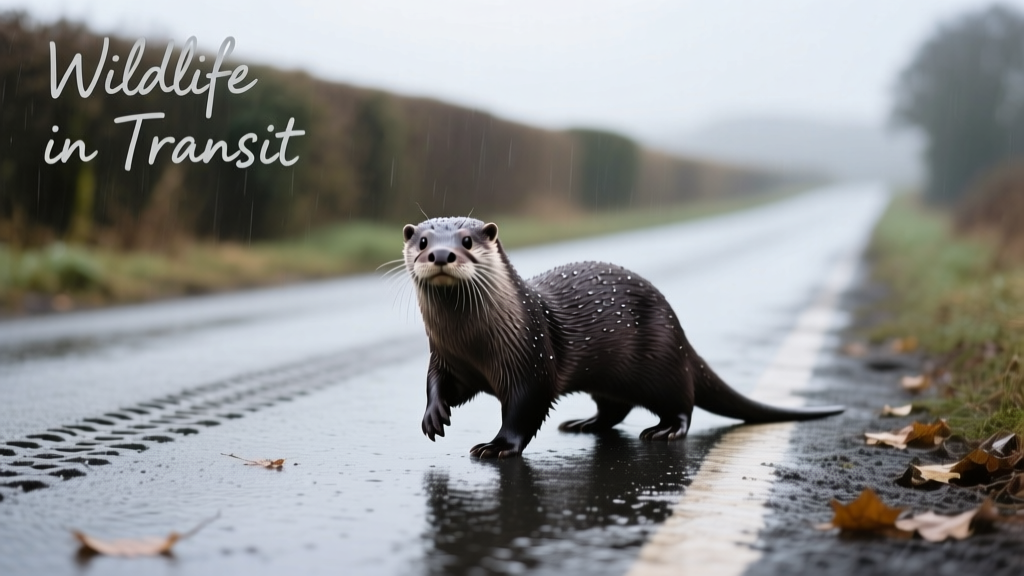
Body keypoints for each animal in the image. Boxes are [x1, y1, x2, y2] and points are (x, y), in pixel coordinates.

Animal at [402, 217, 843, 458]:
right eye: (422, 241)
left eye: (467, 241)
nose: (440, 255)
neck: (475, 346)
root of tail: (680, 332)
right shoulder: (448, 359)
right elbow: (439, 384)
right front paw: (433, 415)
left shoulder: (532, 358)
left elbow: (525, 409)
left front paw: (497, 446)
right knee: (615, 408)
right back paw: (583, 423)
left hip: (662, 362)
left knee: (682, 402)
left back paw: (665, 430)